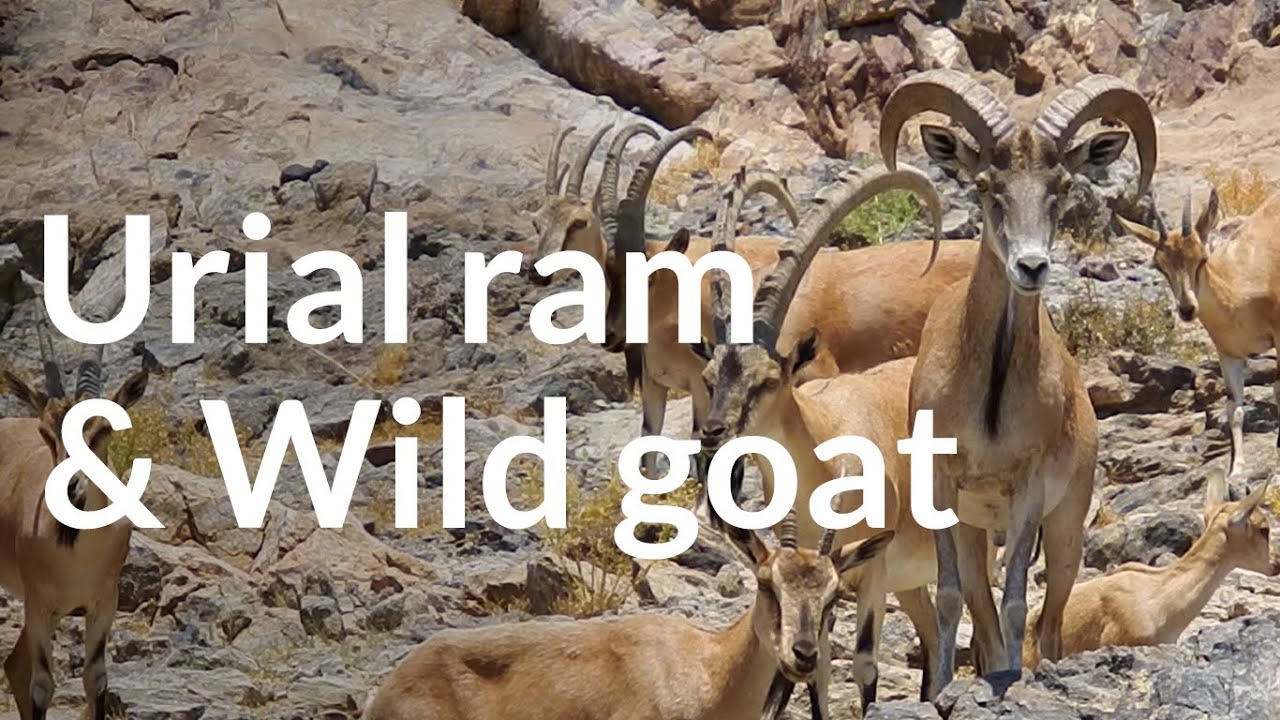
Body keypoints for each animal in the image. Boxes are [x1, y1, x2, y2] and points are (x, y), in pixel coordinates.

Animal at [1, 287, 151, 720]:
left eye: (102, 428)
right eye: (46, 432)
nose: (72, 490)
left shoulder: (103, 602)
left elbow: (95, 680)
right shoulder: (39, 607)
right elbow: (41, 687)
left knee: (13, 664)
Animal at [695, 167, 947, 714]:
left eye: (769, 380)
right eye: (709, 377)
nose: (713, 431)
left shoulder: (871, 574)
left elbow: (865, 664)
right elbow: (819, 670)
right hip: (915, 580)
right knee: (938, 636)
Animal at [879, 69, 1157, 692]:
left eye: (1061, 186)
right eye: (986, 184)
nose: (1031, 267)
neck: (991, 399)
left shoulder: (1028, 493)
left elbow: (1014, 604)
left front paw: (1008, 679)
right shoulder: (942, 487)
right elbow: (952, 599)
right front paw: (941, 689)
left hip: (1065, 530)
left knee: (1048, 622)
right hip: (976, 530)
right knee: (980, 613)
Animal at [1115, 188, 1280, 478]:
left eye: (1202, 258)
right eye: (1160, 265)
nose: (1187, 309)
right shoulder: (1229, 354)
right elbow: (1234, 408)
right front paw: (1236, 470)